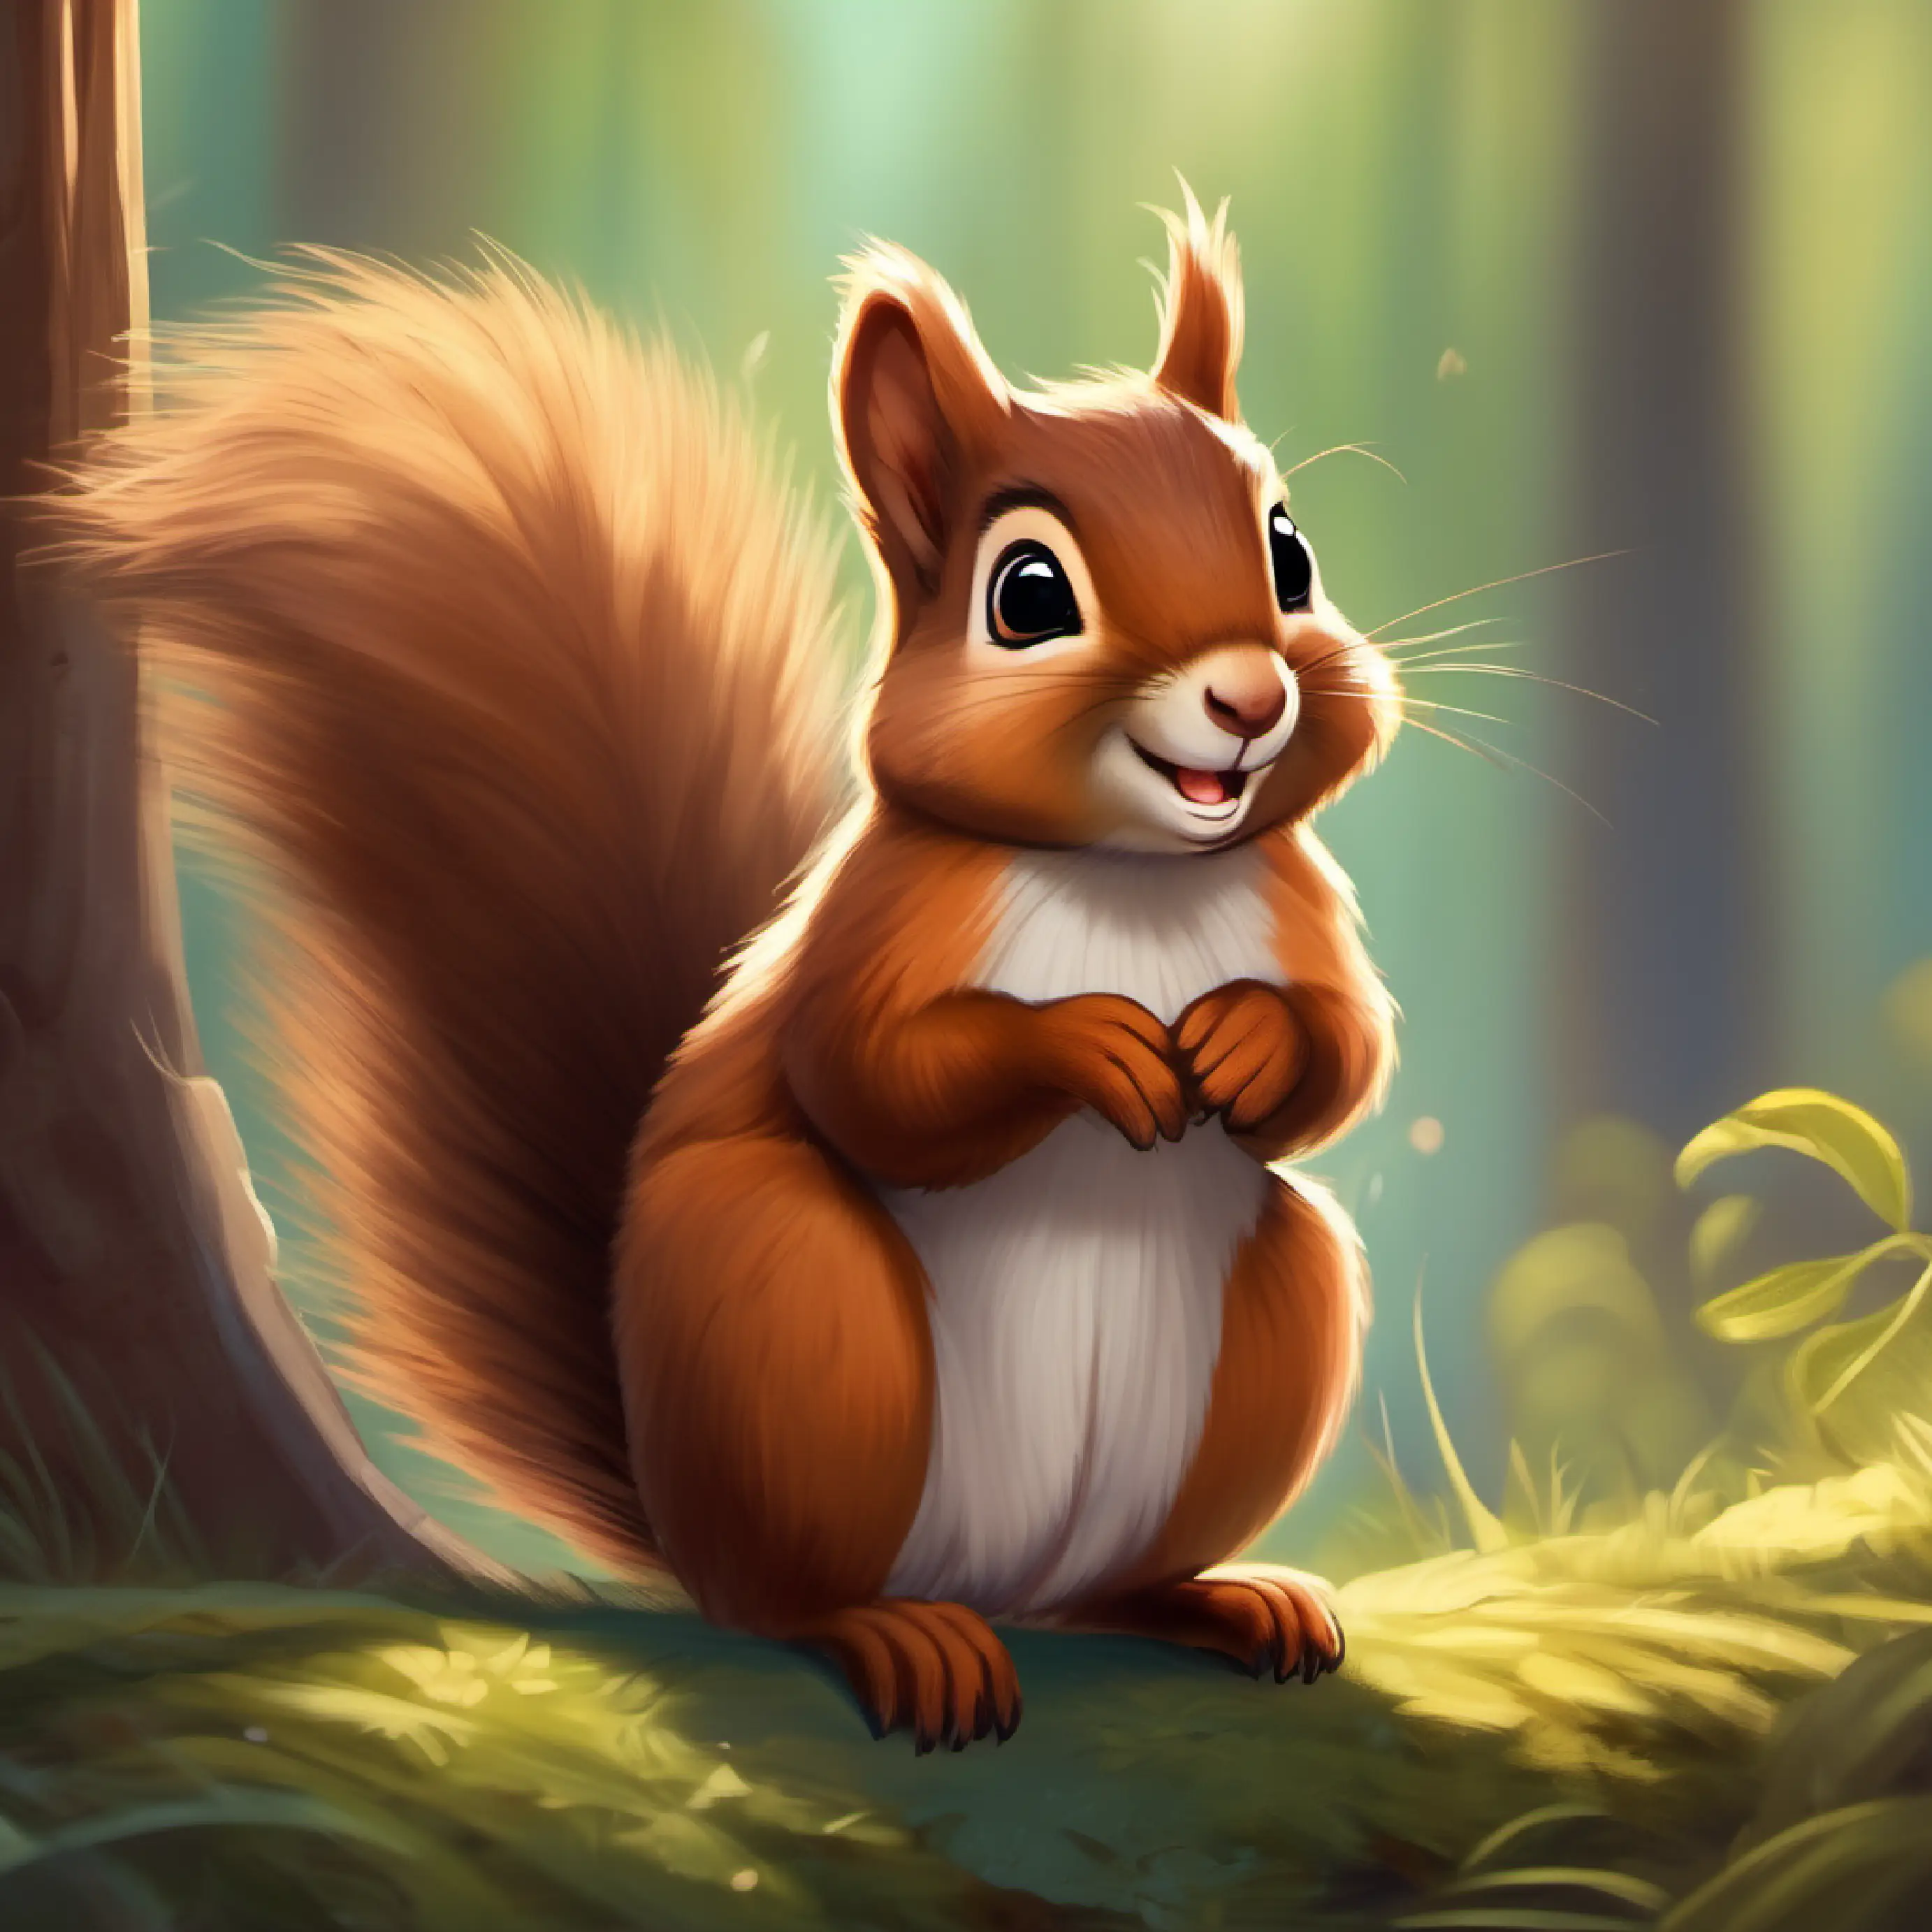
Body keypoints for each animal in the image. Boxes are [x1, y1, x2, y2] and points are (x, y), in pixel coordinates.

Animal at [62, 189, 1398, 1752]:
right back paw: (891, 1633)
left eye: (1289, 553)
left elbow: (1347, 1054)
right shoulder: (874, 928)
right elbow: (875, 1079)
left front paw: (1247, 1038)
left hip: (1275, 1313)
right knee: (779, 1597)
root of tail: (1000, 1579)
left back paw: (1219, 1598)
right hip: (787, 1309)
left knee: (1115, 1580)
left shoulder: (1297, 906)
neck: (1130, 882)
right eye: (1026, 594)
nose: (1248, 699)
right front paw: (1091, 1045)